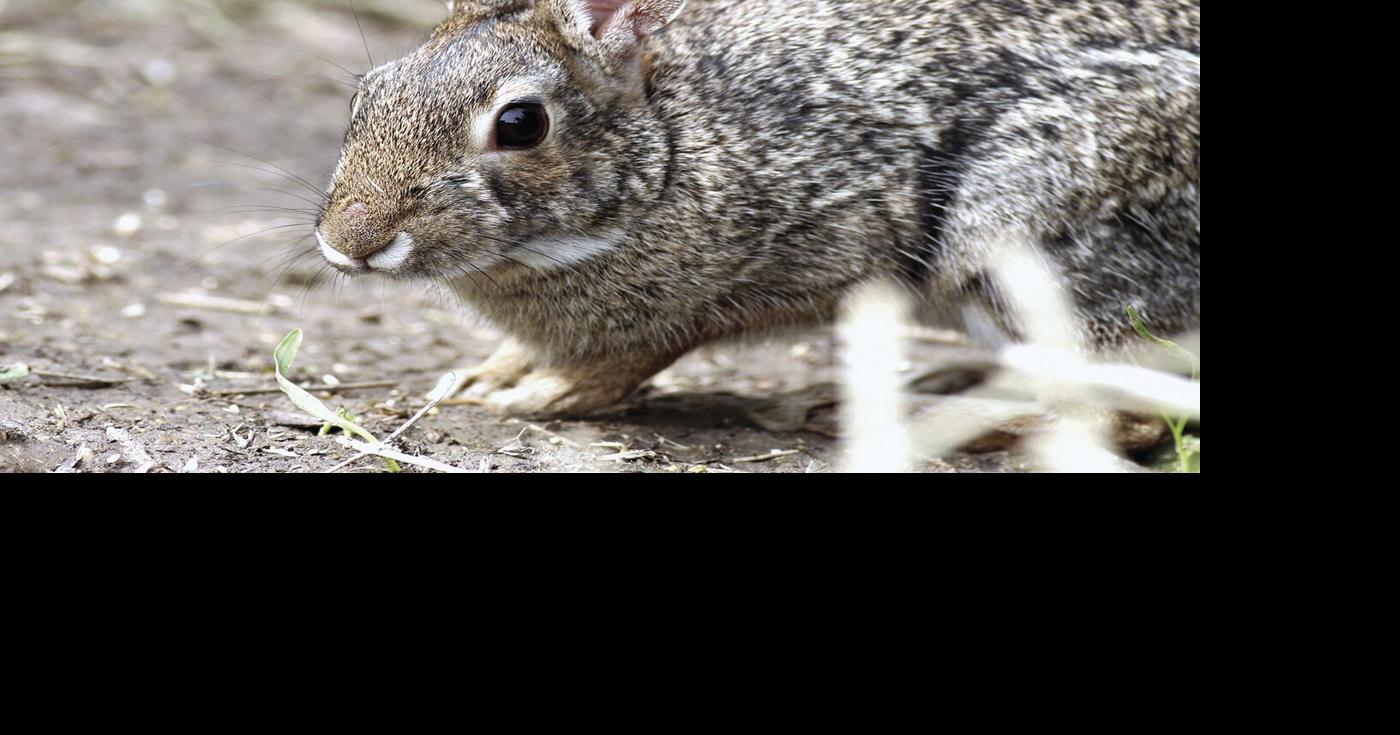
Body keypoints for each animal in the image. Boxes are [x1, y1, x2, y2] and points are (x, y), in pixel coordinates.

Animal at [314, 0, 1200, 417]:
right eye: (370, 93)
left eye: (521, 124)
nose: (352, 242)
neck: (669, 153)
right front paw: (481, 377)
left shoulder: (820, 254)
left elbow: (647, 348)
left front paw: (539, 397)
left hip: (1014, 231)